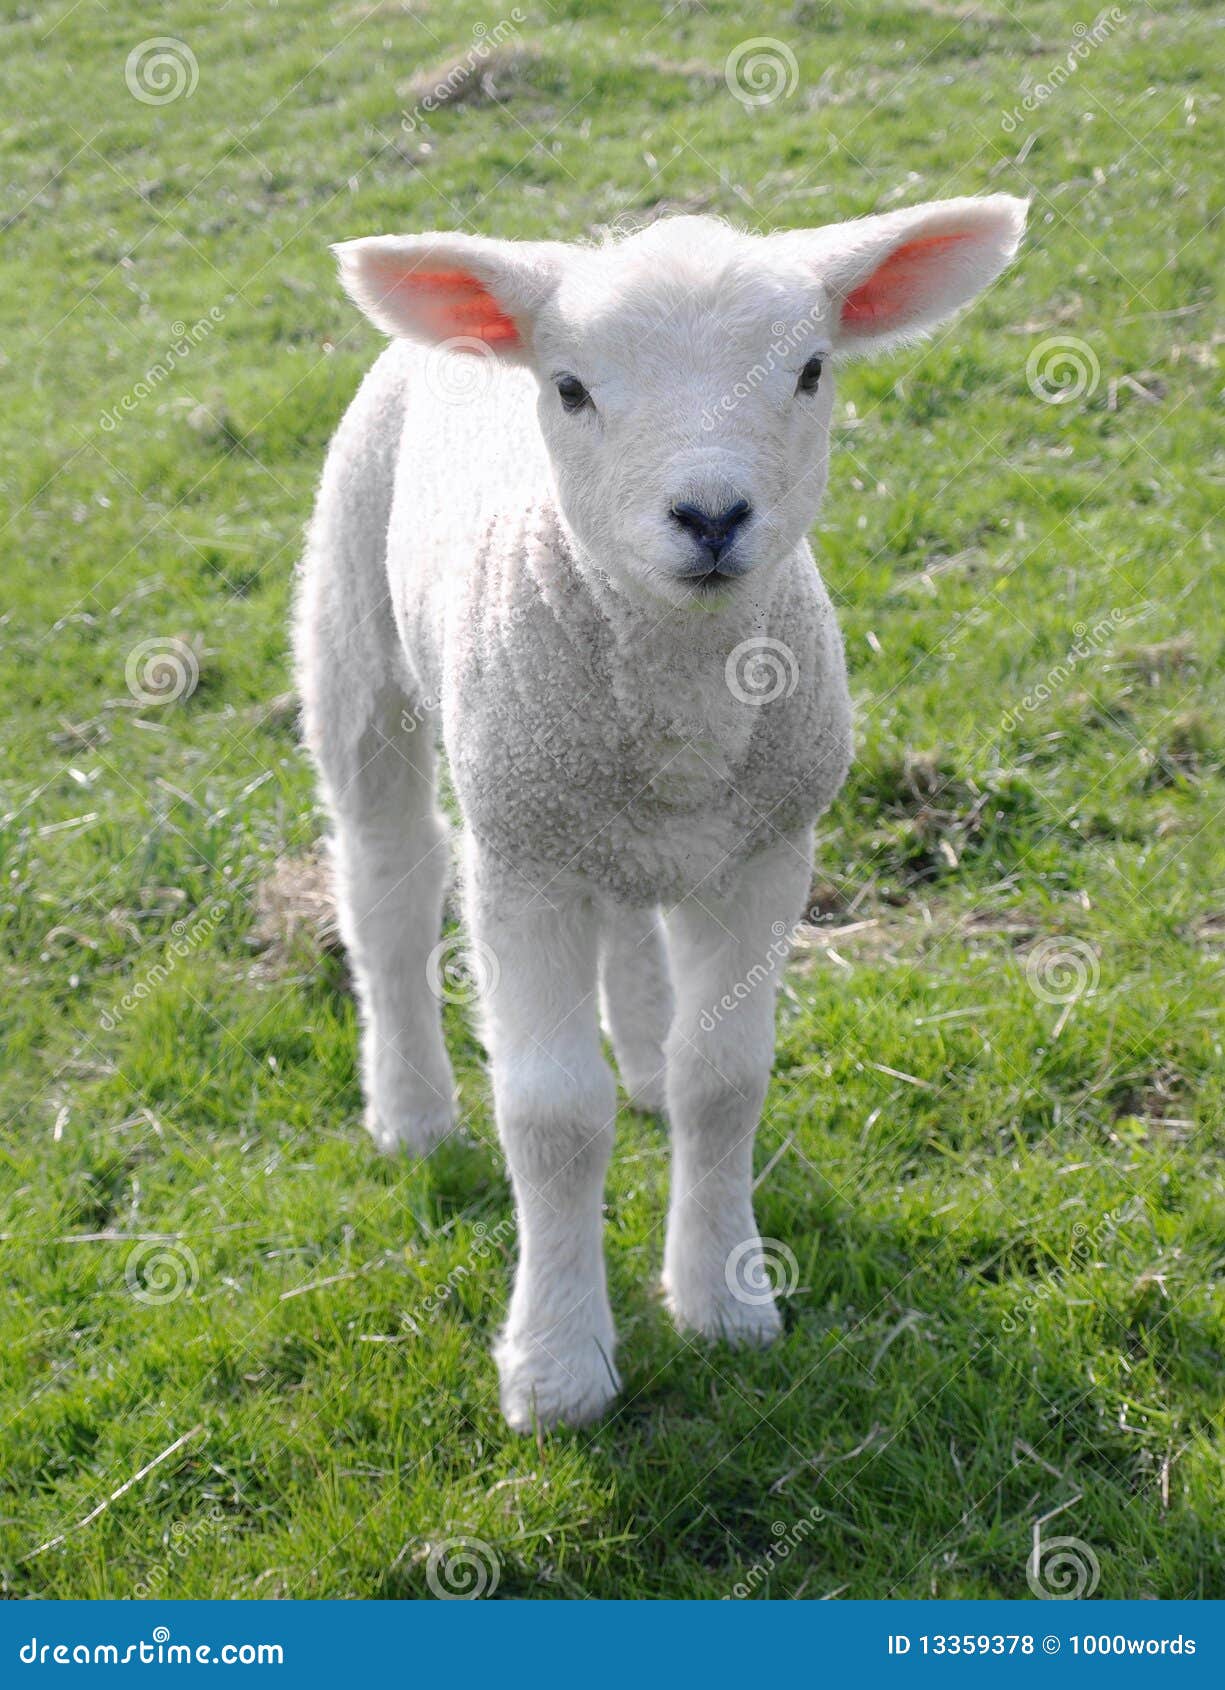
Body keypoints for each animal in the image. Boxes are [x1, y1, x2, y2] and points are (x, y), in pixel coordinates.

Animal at [294, 195, 1027, 1432]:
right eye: (570, 388)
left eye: (812, 370)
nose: (711, 514)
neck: (684, 689)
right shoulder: (523, 860)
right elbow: (550, 1118)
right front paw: (556, 1369)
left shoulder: (769, 847)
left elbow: (723, 1080)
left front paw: (724, 1301)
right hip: (358, 636)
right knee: (388, 886)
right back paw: (410, 1111)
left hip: (614, 812)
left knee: (631, 923)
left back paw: (638, 1060)